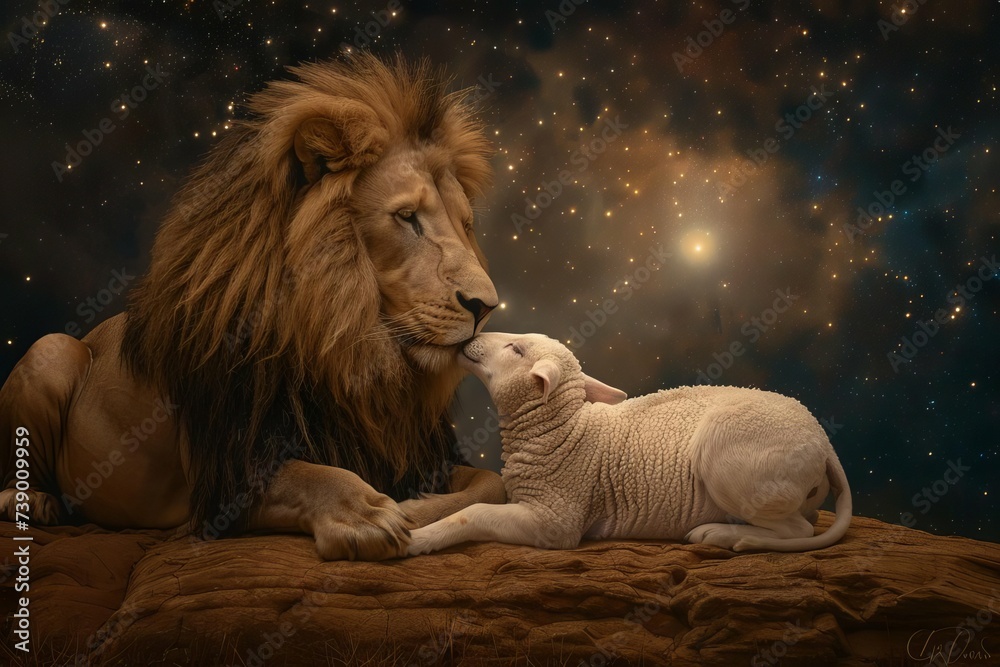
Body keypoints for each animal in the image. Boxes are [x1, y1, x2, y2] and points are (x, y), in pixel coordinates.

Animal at [0, 54, 507, 560]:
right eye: (406, 218)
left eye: (465, 224)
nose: (486, 306)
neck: (348, 353)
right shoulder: (222, 479)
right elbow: (310, 475)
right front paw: (368, 514)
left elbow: (492, 482)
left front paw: (420, 505)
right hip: (50, 349)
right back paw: (32, 502)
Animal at [407, 332, 852, 556]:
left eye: (515, 349)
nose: (468, 338)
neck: (565, 429)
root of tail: (824, 441)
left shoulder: (557, 518)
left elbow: (475, 513)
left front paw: (418, 540)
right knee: (806, 520)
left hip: (734, 462)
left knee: (798, 529)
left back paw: (722, 536)